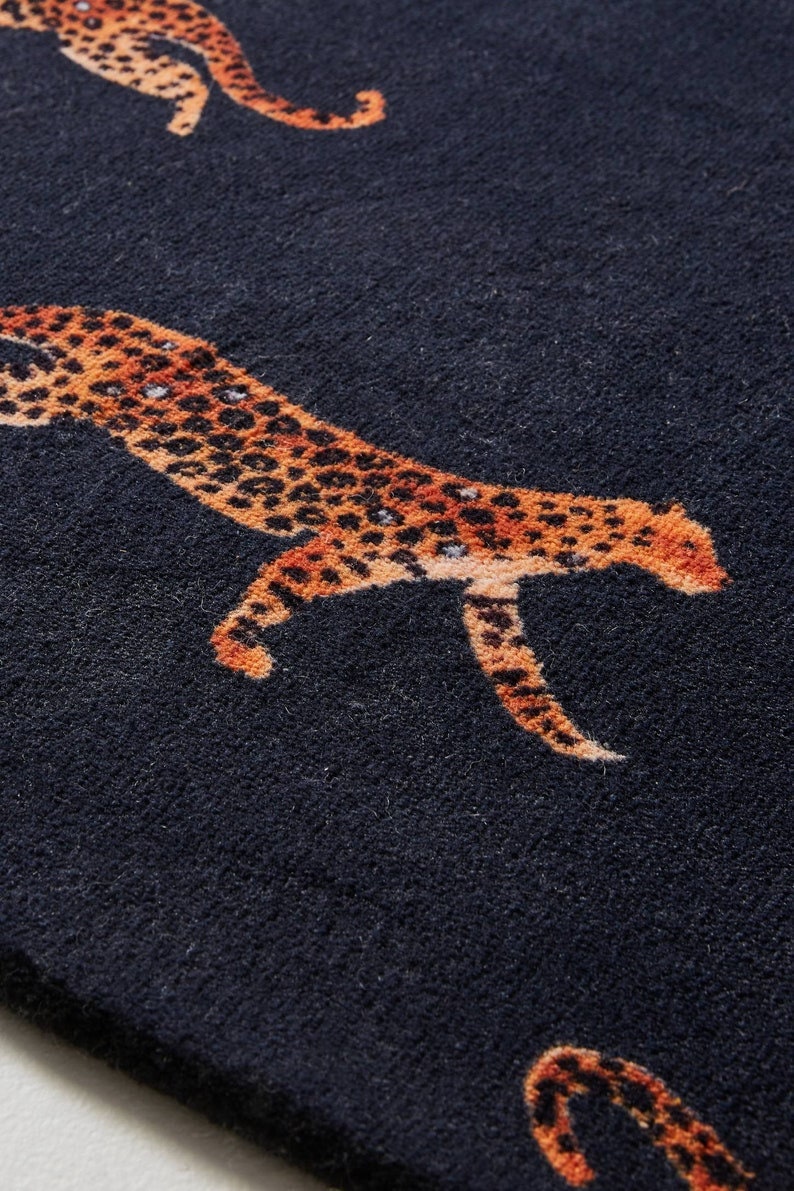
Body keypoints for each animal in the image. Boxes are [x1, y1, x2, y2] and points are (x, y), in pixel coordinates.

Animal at [0, 304, 731, 761]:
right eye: (693, 546)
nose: (723, 579)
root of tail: (156, 334)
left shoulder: (489, 597)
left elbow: (522, 681)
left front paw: (576, 743)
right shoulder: (347, 551)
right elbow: (274, 592)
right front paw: (243, 653)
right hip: (62, 399)